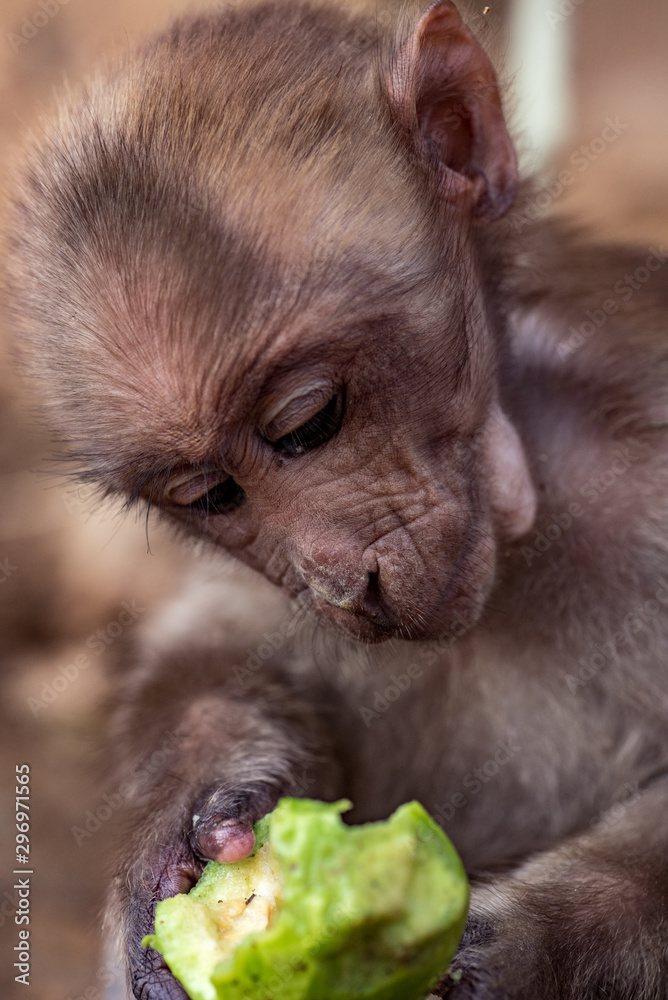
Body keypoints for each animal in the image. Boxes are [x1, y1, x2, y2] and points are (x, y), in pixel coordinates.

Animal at [7, 0, 668, 996]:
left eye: (308, 423)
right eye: (215, 495)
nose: (339, 585)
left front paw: (535, 941)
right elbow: (210, 652)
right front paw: (190, 826)